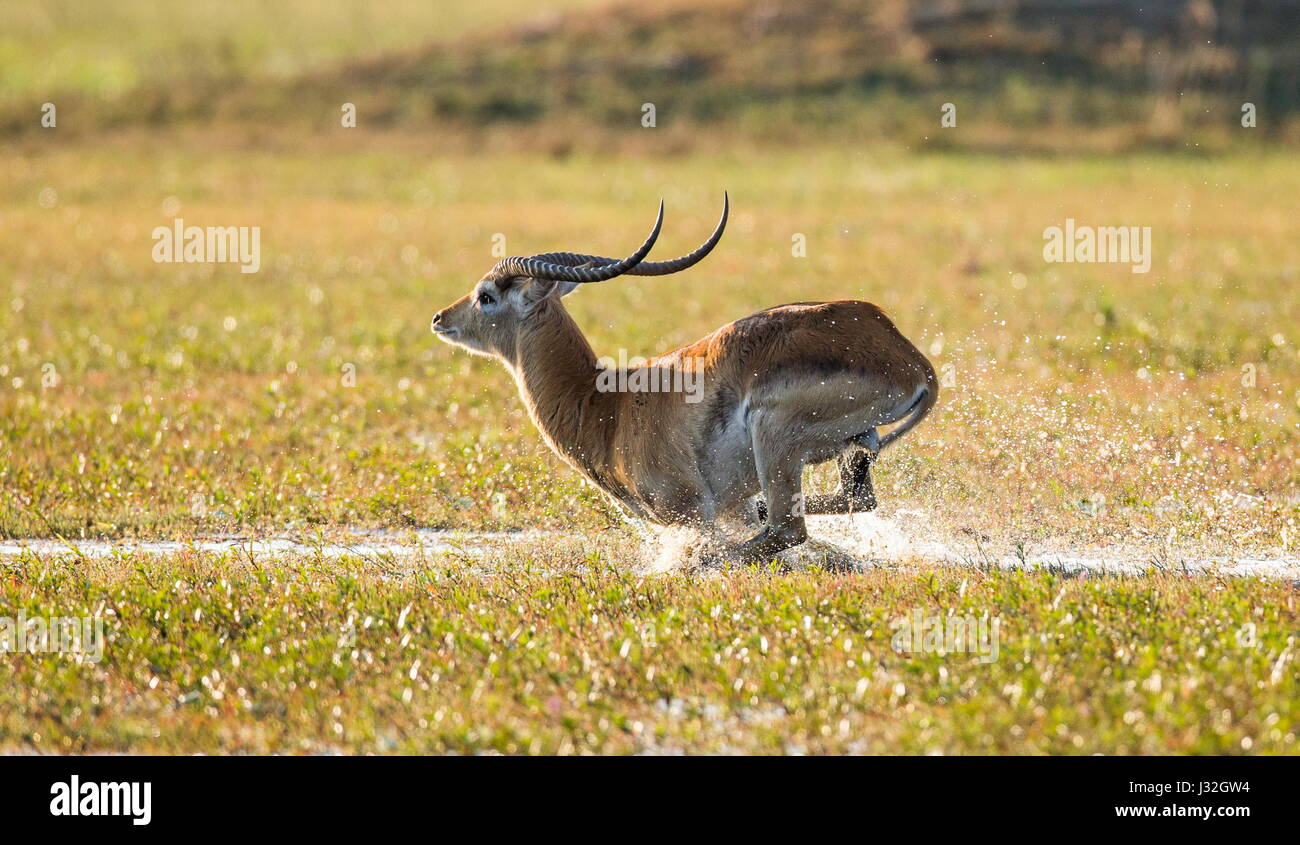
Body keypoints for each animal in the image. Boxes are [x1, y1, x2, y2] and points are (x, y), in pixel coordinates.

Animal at [431, 195, 937, 562]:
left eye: (486, 295)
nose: (439, 318)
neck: (605, 407)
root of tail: (906, 356)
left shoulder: (690, 511)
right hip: (850, 450)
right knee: (850, 502)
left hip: (774, 437)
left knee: (785, 531)